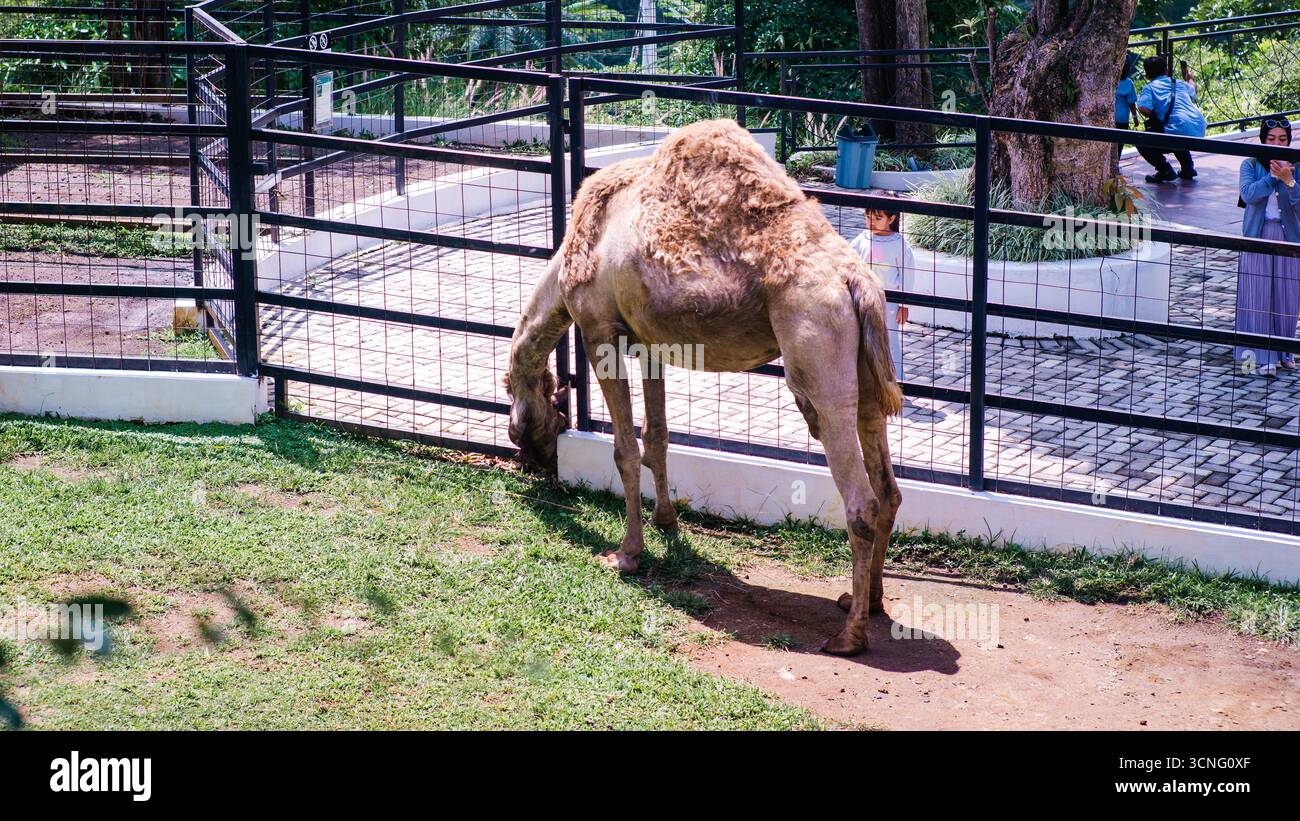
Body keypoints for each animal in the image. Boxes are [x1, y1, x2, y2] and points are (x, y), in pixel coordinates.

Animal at [505, 119, 903, 655]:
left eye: (525, 416)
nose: (533, 459)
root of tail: (856, 283)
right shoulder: (649, 340)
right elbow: (656, 436)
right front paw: (666, 522)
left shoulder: (597, 327)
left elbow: (624, 450)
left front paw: (626, 555)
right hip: (864, 370)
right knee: (888, 484)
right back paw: (868, 602)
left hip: (816, 357)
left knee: (860, 497)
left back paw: (849, 636)